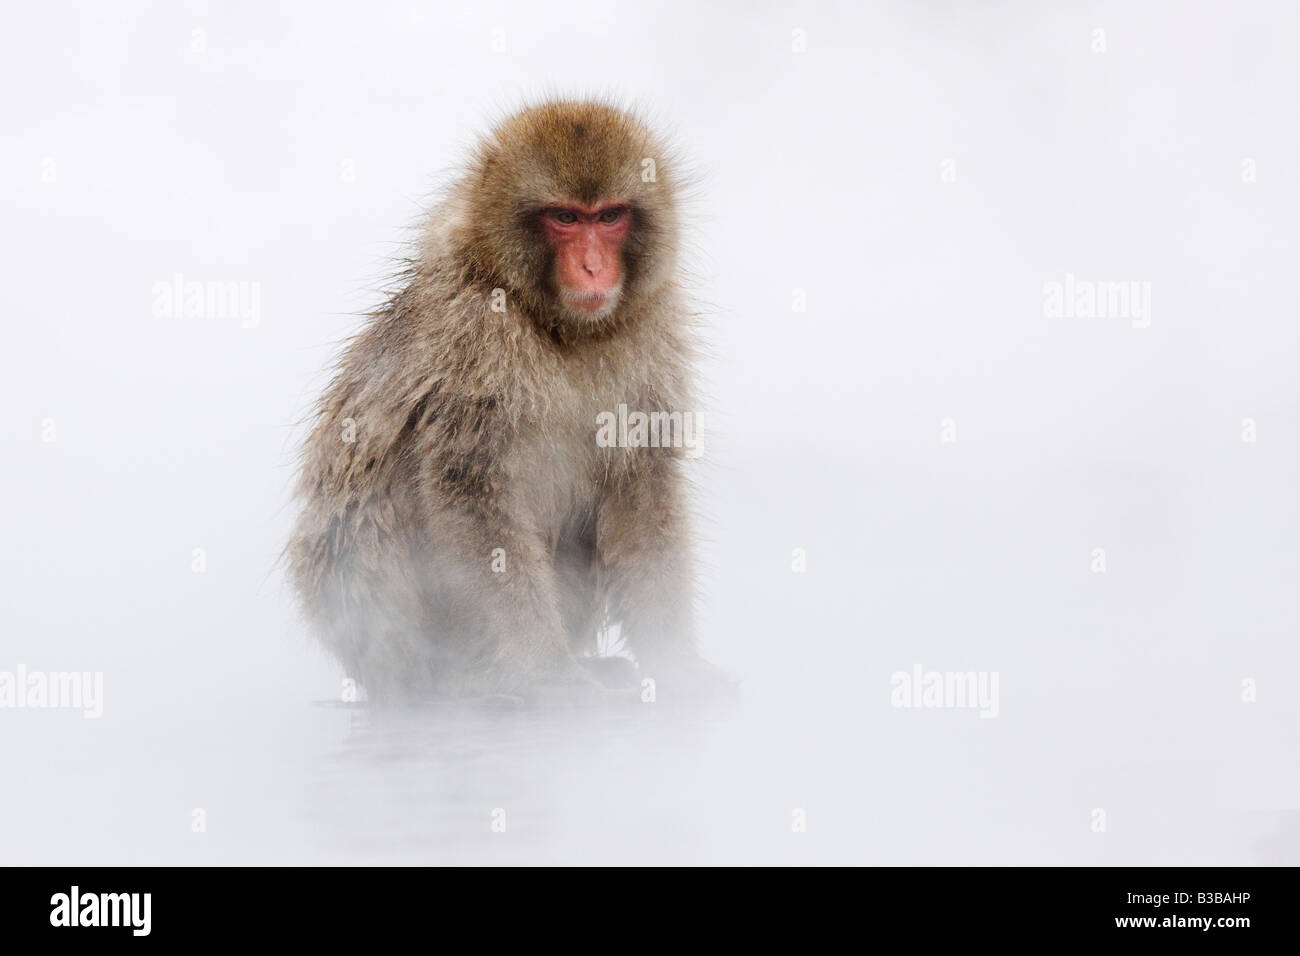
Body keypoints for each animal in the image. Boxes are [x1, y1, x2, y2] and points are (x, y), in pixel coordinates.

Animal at [287, 100, 726, 704]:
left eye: (609, 216)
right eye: (565, 218)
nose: (593, 267)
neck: (560, 329)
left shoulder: (652, 327)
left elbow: (640, 480)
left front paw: (676, 663)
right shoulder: (474, 332)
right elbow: (472, 489)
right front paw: (549, 674)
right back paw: (463, 680)